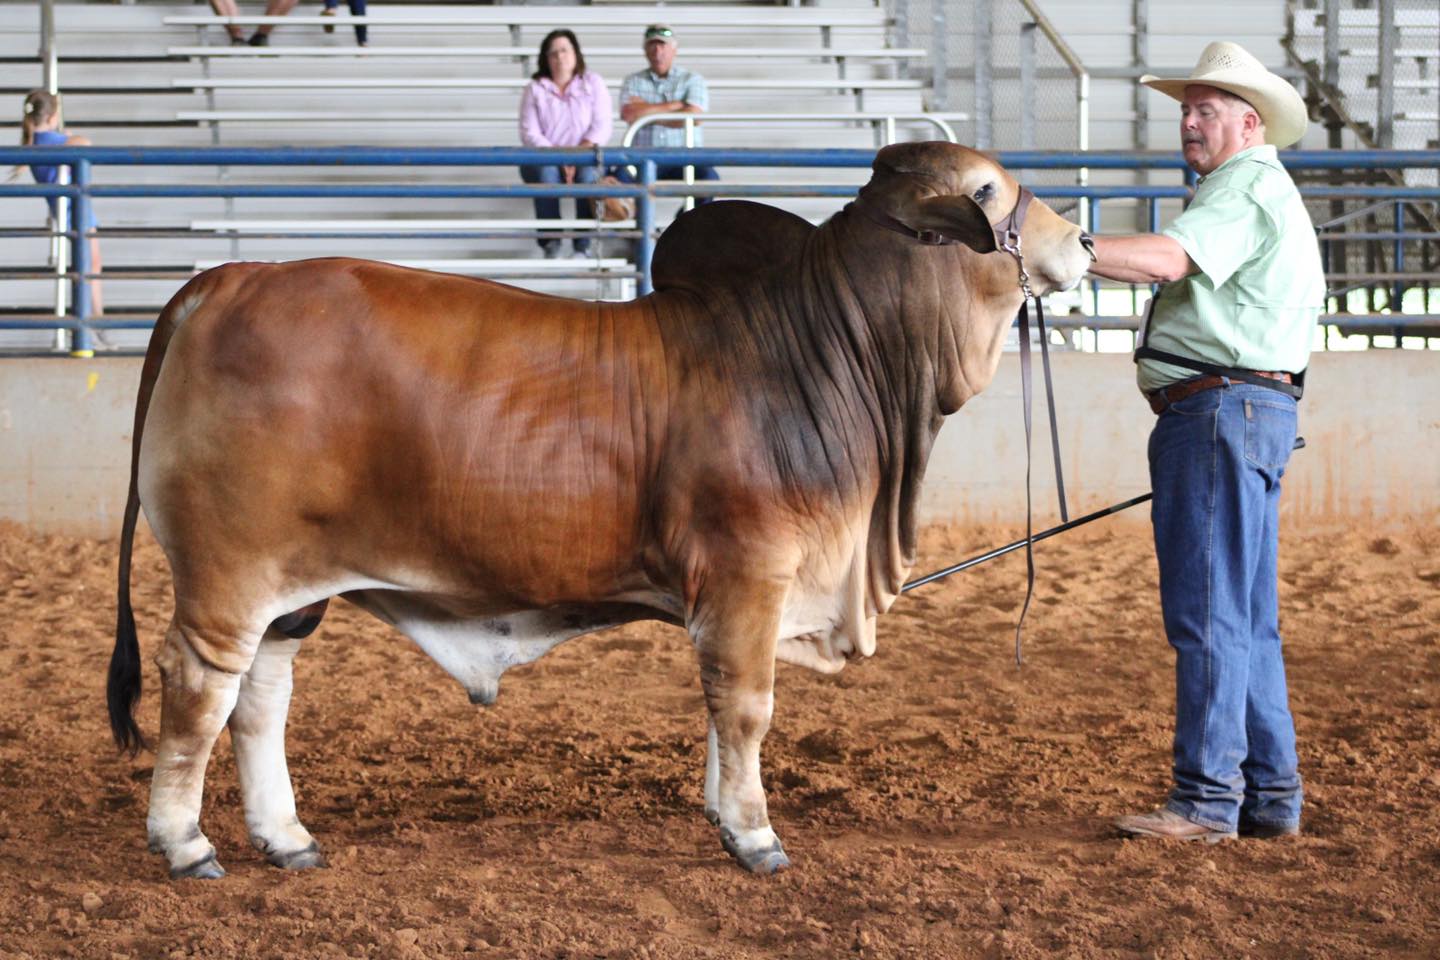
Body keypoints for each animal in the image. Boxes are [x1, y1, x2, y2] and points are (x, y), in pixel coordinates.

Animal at [109, 142, 1093, 880]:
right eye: (988, 189)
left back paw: (287, 838)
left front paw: (725, 816)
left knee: (260, 697)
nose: (1085, 239)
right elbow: (746, 706)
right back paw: (185, 844)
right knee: (198, 690)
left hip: (294, 588)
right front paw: (756, 836)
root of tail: (230, 279)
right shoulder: (750, 576)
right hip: (228, 574)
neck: (824, 355)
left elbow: (717, 708)